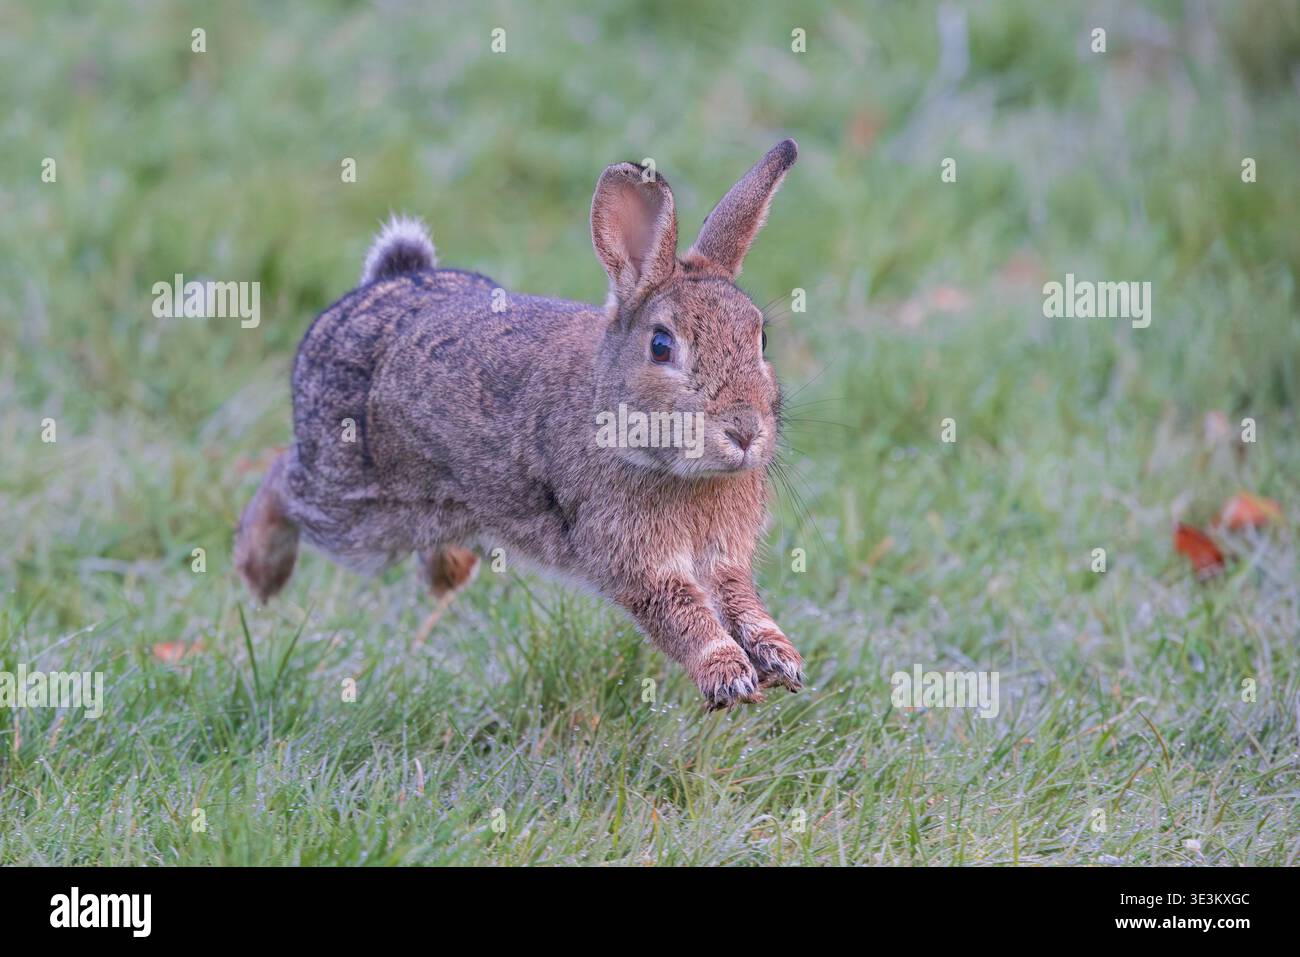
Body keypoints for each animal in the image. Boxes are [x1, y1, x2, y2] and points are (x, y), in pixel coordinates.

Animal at [235, 139, 805, 709]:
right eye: (661, 346)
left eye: (761, 339)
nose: (744, 432)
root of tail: (380, 286)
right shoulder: (635, 559)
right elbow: (683, 615)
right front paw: (728, 676)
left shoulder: (723, 561)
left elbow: (740, 601)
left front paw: (781, 660)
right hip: (355, 506)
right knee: (281, 482)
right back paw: (260, 577)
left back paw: (446, 573)